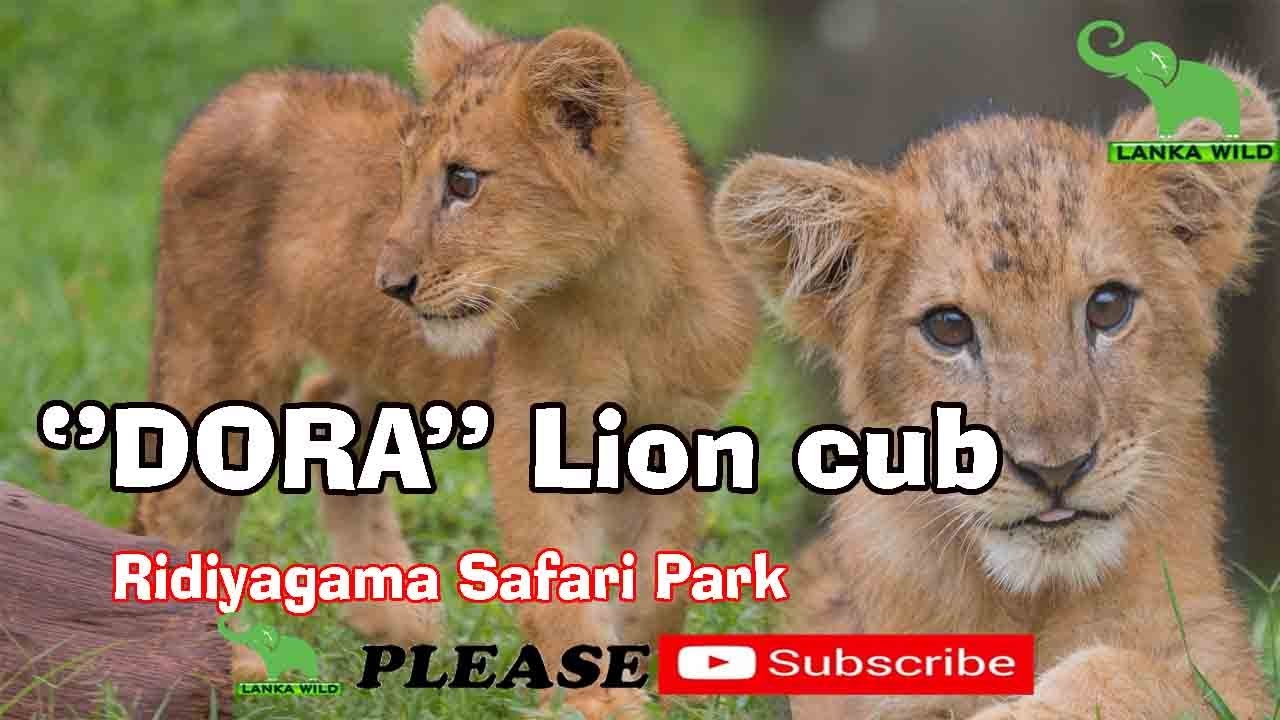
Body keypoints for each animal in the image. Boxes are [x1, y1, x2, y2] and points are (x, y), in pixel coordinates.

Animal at [134, 5, 756, 715]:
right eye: (402, 177)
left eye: (463, 182)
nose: (389, 285)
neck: (623, 298)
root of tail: (235, 93)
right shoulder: (534, 432)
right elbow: (560, 581)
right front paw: (597, 703)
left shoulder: (680, 429)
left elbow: (661, 577)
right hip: (216, 343)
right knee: (181, 500)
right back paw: (222, 660)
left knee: (329, 405)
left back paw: (397, 619)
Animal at [713, 67, 1275, 718]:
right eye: (948, 328)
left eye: (1108, 307)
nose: (1056, 471)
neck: (1036, 603)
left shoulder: (1233, 674)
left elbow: (1122, 673)